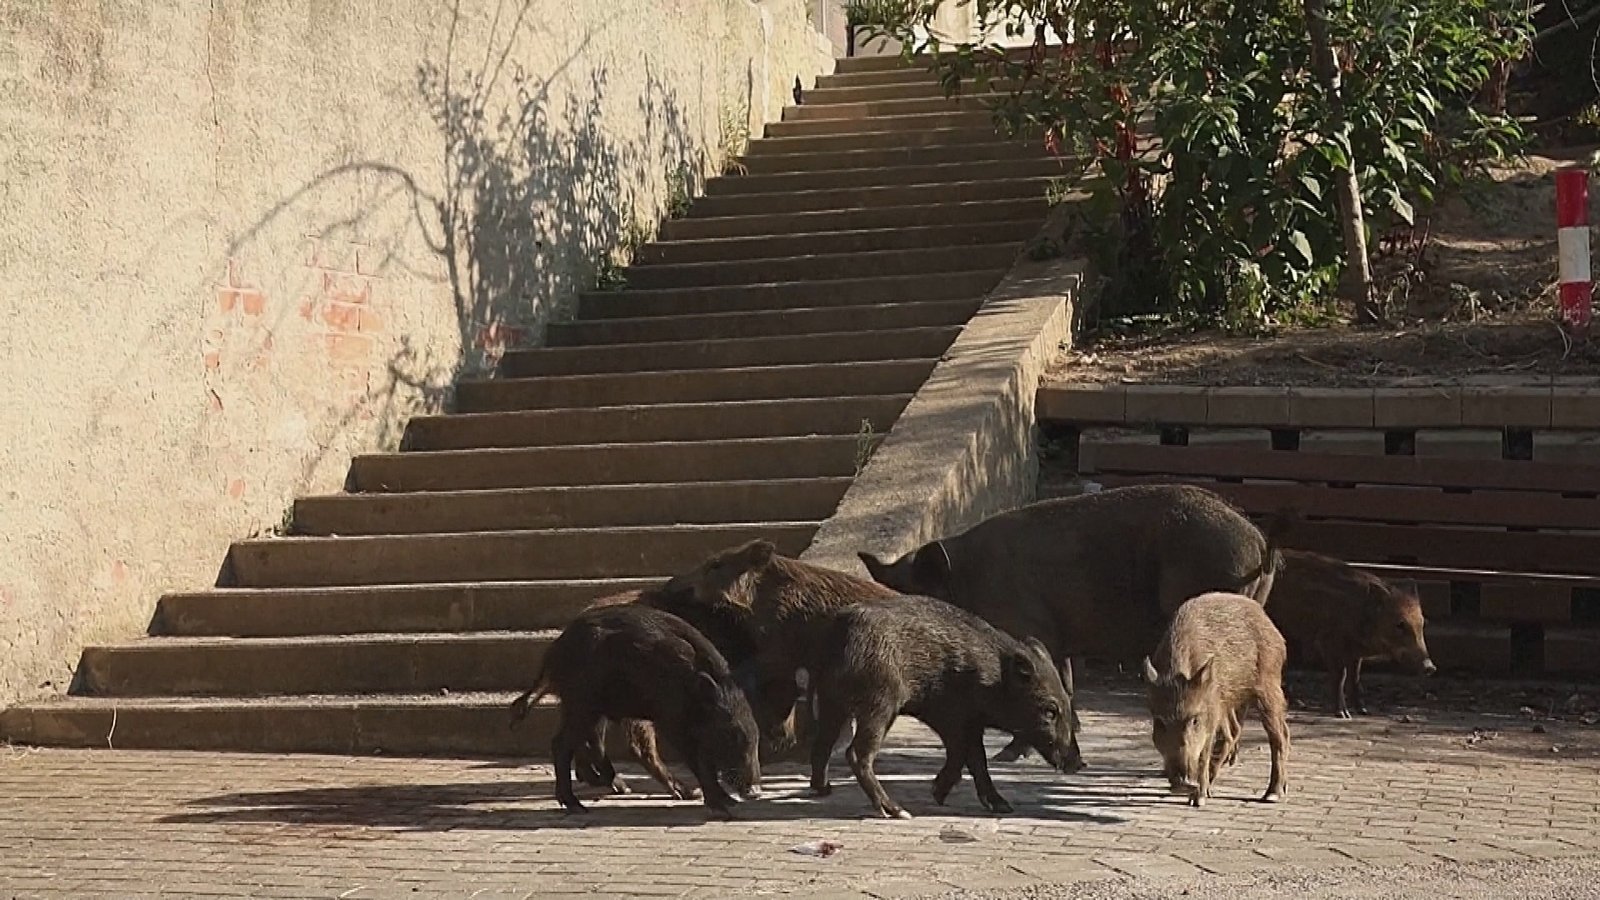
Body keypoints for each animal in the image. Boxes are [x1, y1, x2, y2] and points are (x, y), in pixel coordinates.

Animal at [507, 602, 761, 816]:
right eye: (730, 734)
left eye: (756, 734)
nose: (756, 791)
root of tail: (553, 654)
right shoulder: (672, 719)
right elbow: (698, 760)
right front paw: (722, 807)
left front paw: (728, 801)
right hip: (582, 702)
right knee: (563, 744)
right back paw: (577, 806)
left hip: (591, 709)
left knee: (595, 743)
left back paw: (624, 787)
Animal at [805, 594, 1081, 818]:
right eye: (1050, 710)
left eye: (1067, 704)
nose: (1077, 764)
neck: (992, 679)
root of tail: (842, 633)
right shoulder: (951, 715)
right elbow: (963, 754)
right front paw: (938, 793)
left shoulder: (970, 722)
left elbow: (976, 759)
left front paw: (1001, 806)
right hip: (880, 703)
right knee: (856, 753)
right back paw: (897, 812)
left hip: (831, 699)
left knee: (822, 744)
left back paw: (824, 789)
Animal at [860, 484, 1281, 763]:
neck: (967, 580)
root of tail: (1261, 543)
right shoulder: (1057, 641)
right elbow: (1065, 683)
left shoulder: (1029, 628)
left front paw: (1007, 757)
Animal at [1143, 591, 1289, 807]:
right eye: (1160, 722)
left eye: (1195, 720)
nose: (1182, 783)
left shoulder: (1210, 712)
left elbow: (1204, 753)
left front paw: (1198, 800)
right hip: (1230, 701)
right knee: (1236, 731)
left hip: (1269, 684)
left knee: (1279, 735)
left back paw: (1272, 795)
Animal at [1266, 549, 1435, 718]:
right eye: (1399, 625)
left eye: (1423, 622)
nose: (1430, 667)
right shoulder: (1329, 643)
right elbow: (1341, 676)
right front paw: (1343, 714)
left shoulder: (1354, 652)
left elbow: (1355, 678)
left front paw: (1363, 711)